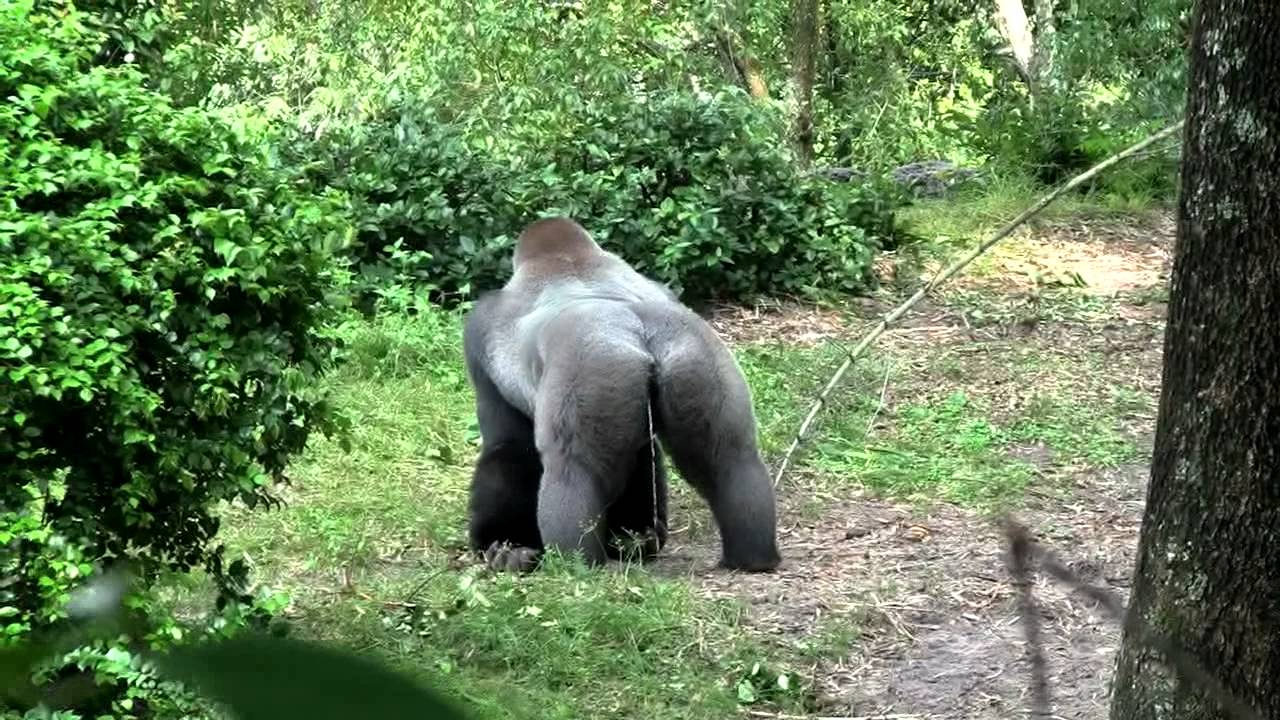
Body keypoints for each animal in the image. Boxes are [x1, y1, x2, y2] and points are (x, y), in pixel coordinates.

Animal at [462, 217, 781, 573]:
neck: (564, 259)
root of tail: (639, 332)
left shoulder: (480, 326)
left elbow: (507, 446)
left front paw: (504, 544)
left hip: (596, 367)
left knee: (572, 469)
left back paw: (575, 566)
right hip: (697, 357)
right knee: (730, 457)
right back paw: (749, 556)